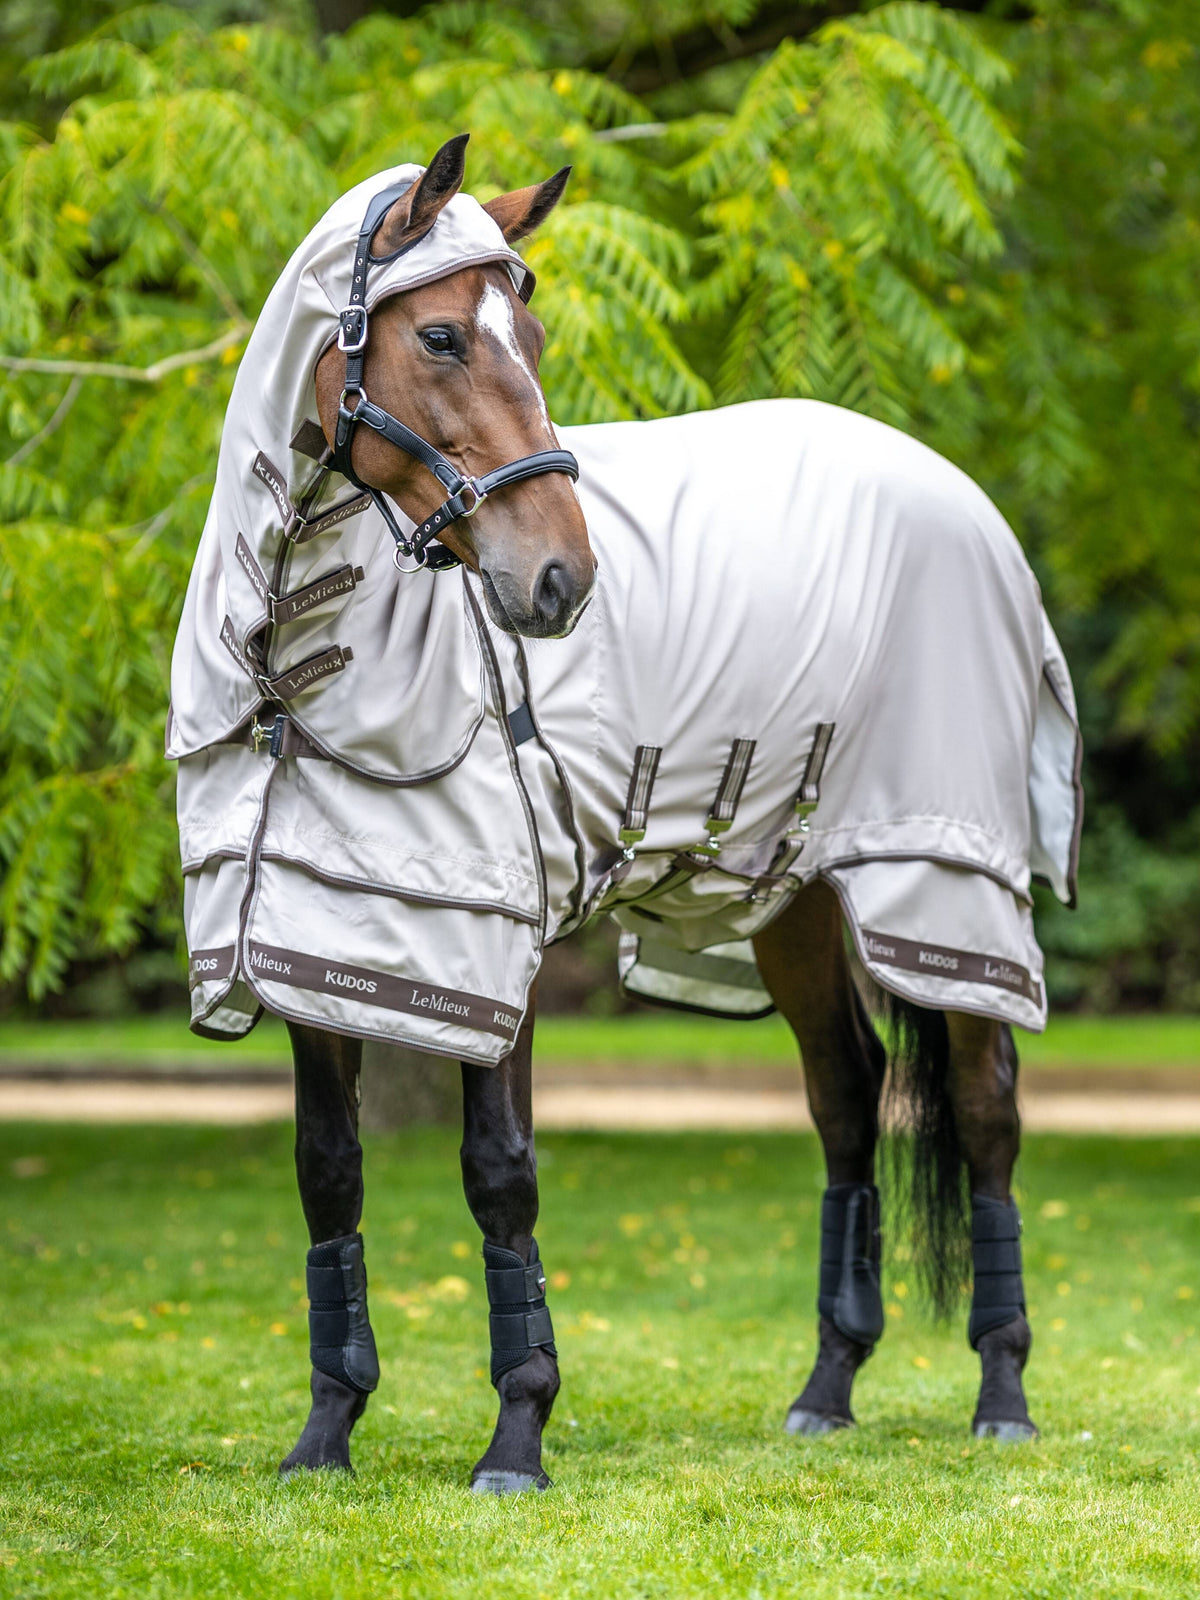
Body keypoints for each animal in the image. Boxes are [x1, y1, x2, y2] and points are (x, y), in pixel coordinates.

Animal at [169, 135, 1082, 1493]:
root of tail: (961, 497)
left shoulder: (490, 943)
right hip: (791, 895)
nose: (560, 581)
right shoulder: (317, 939)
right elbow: (328, 1174)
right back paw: (827, 1386)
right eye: (441, 335)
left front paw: (516, 1435)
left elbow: (500, 1175)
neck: (307, 673)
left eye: (535, 335)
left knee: (985, 1109)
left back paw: (1005, 1395)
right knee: (848, 1097)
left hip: (941, 884)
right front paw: (325, 1433)